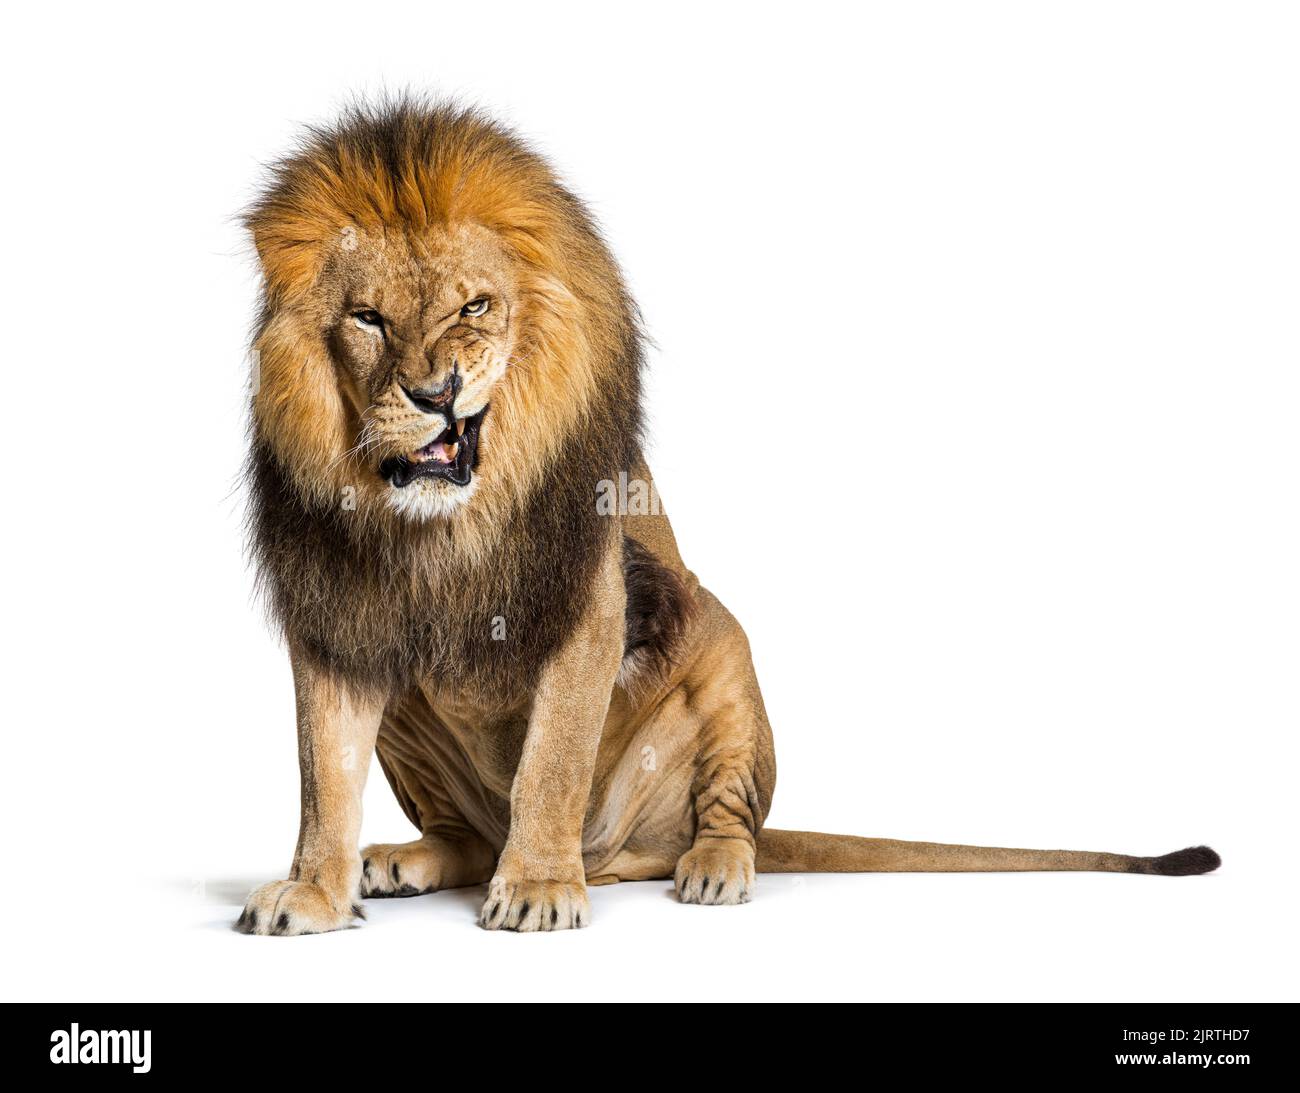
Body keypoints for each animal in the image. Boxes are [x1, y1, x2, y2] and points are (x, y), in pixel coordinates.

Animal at [236, 99, 1219, 935]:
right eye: (368, 318)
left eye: (474, 305)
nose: (436, 393)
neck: (444, 523)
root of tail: (617, 854)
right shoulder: (337, 615)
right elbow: (323, 772)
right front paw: (312, 890)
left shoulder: (592, 596)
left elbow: (553, 757)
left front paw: (542, 887)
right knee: (473, 838)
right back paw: (409, 859)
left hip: (726, 662)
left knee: (722, 813)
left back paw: (703, 867)